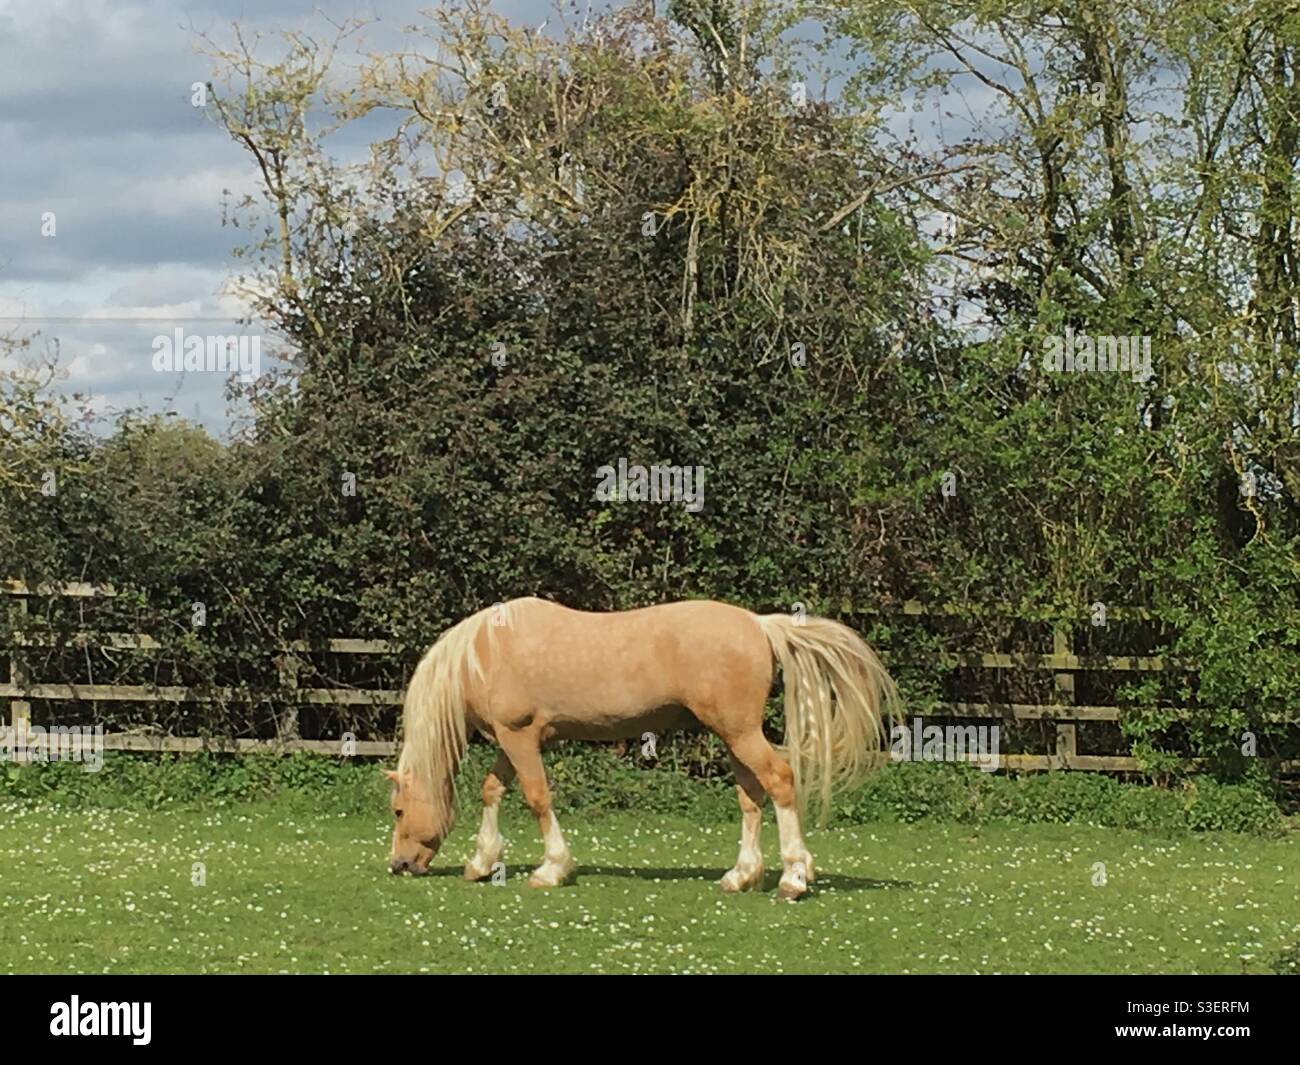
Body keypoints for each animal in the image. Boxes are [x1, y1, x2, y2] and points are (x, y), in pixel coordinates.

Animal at [384, 597, 898, 899]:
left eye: (397, 811)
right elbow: (493, 790)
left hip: (741, 733)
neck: (484, 651)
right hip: (734, 737)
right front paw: (481, 862)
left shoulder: (519, 736)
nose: (399, 865)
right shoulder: (514, 741)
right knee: (751, 798)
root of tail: (759, 624)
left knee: (780, 781)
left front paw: (552, 869)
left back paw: (793, 879)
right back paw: (741, 876)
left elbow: (537, 799)